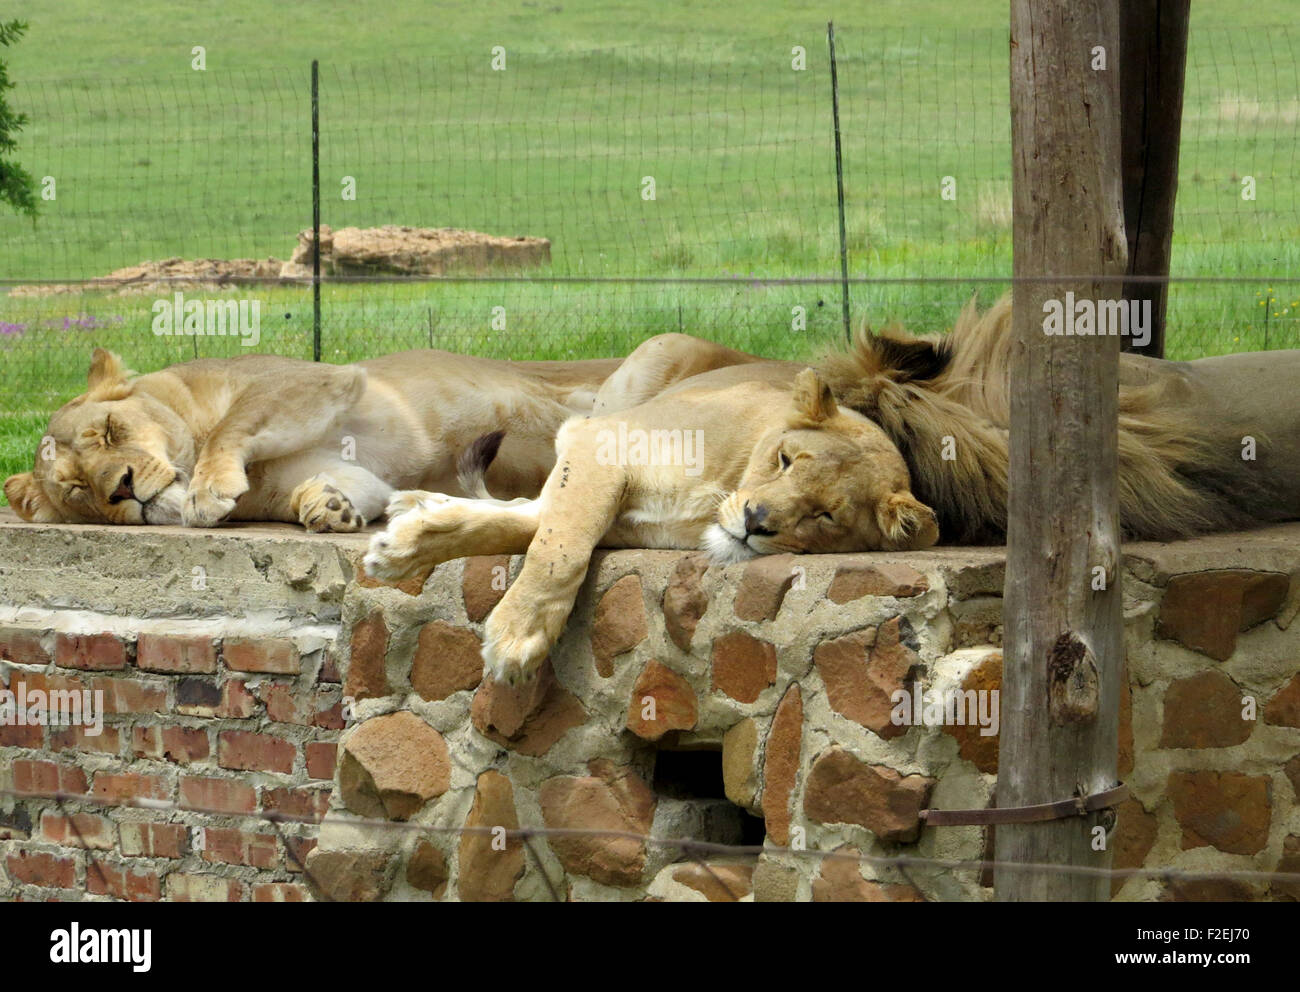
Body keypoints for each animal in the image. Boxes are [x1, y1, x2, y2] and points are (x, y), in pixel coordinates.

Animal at [3, 348, 624, 531]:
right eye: (78, 489)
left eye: (110, 431)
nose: (122, 487)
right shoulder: (344, 468)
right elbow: (350, 485)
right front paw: (326, 505)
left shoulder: (317, 379)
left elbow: (233, 424)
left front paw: (208, 489)